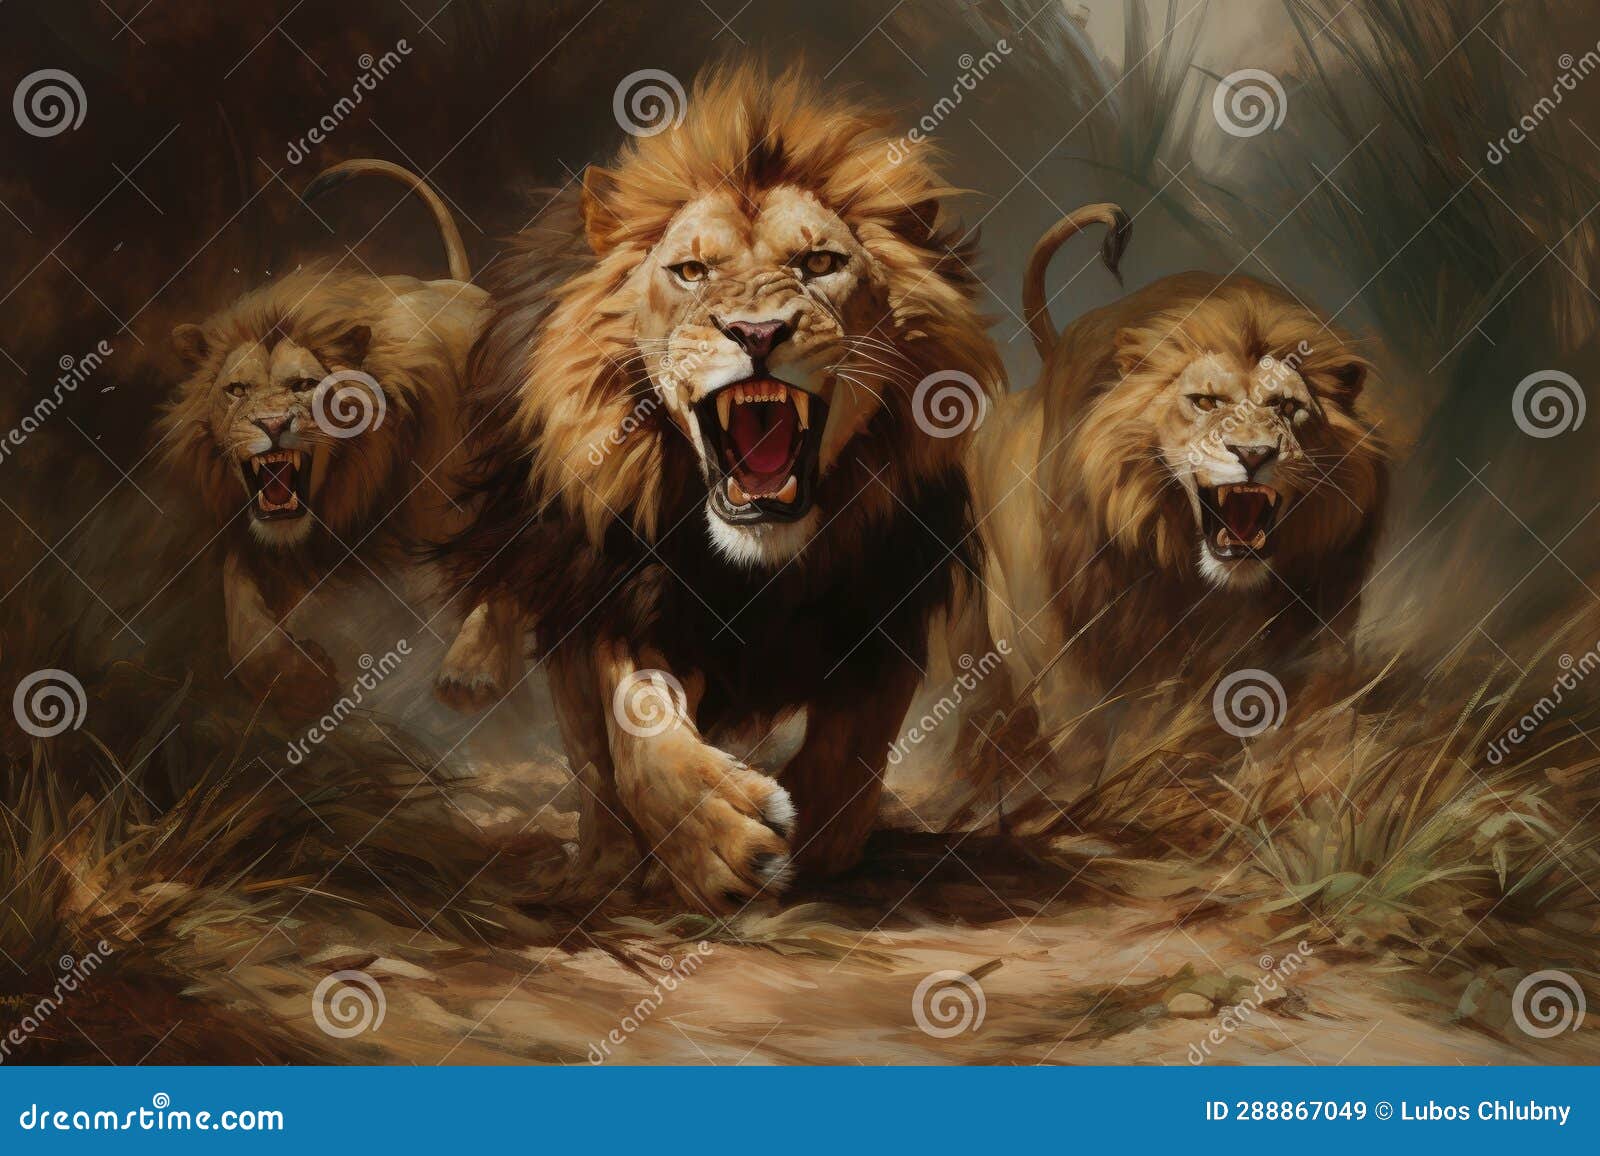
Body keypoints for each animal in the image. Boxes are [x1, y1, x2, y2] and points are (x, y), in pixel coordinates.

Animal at [159, 160, 524, 718]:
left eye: (304, 386)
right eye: (237, 390)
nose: (271, 425)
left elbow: (502, 571)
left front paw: (472, 668)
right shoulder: (256, 538)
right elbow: (241, 615)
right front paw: (297, 681)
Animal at [450, 65, 1004, 911]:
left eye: (819, 263)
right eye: (691, 271)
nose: (757, 333)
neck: (755, 561)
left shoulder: (887, 594)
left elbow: (856, 746)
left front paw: (812, 831)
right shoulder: (615, 581)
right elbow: (633, 728)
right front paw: (720, 837)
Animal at [949, 207, 1388, 810]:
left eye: (1287, 407)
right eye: (1205, 402)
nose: (1254, 454)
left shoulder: (1314, 630)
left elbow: (1310, 718)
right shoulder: (1072, 644)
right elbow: (1095, 734)